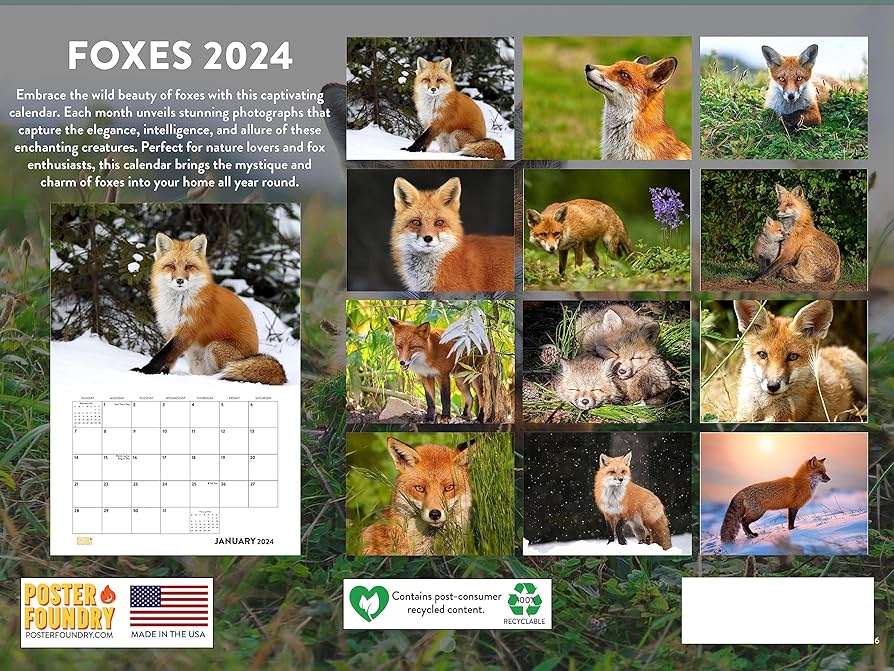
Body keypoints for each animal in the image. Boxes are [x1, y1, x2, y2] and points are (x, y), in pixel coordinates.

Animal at [131, 233, 286, 385]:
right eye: (171, 266)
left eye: (189, 266)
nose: (180, 280)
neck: (177, 303)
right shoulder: (169, 328)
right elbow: (169, 356)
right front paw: (162, 373)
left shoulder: (188, 329)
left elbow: (163, 354)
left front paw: (145, 370)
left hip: (215, 347)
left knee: (224, 372)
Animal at [733, 300, 867, 422]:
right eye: (762, 354)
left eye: (793, 357)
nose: (773, 386)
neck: (763, 403)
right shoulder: (743, 414)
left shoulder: (783, 416)